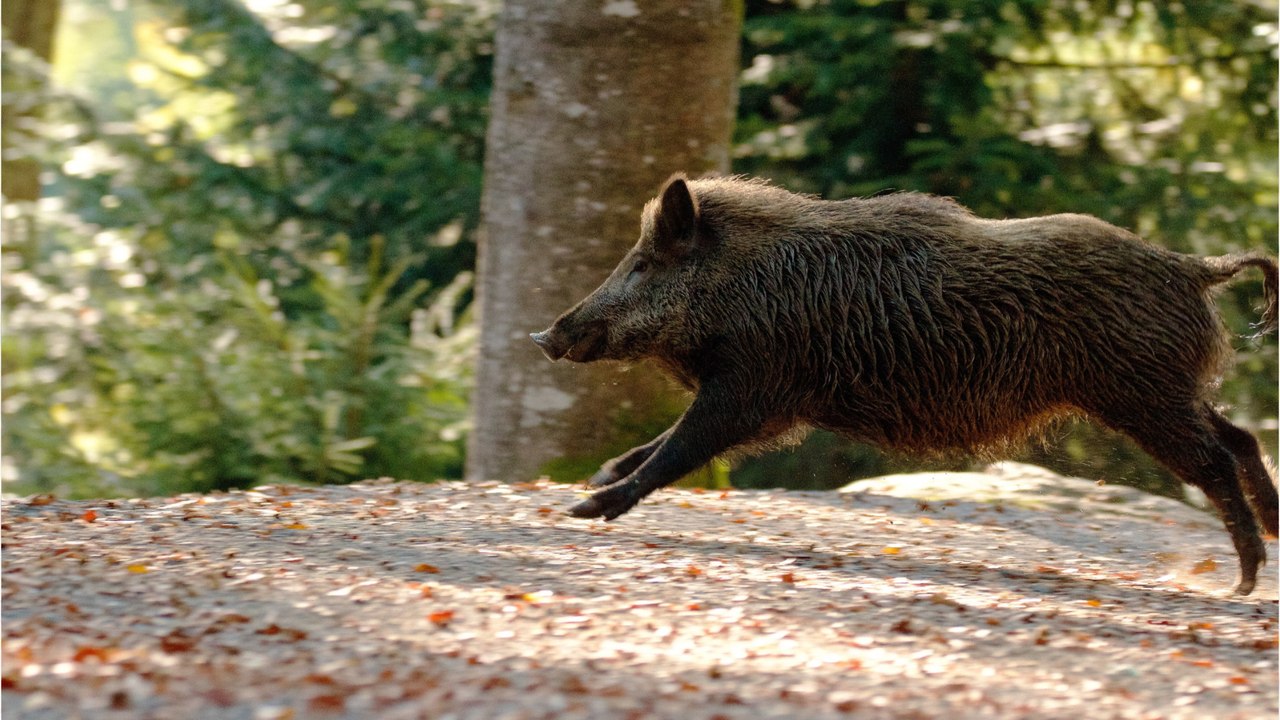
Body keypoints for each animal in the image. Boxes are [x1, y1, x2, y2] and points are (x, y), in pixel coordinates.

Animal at [530, 174, 1279, 595]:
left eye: (645, 263)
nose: (546, 335)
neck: (745, 286)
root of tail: (1191, 268)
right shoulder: (775, 406)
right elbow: (664, 446)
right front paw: (597, 477)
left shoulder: (753, 386)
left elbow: (679, 448)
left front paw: (583, 507)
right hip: (1163, 390)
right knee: (1239, 436)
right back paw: (1268, 541)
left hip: (1141, 395)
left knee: (1214, 458)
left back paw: (1243, 583)